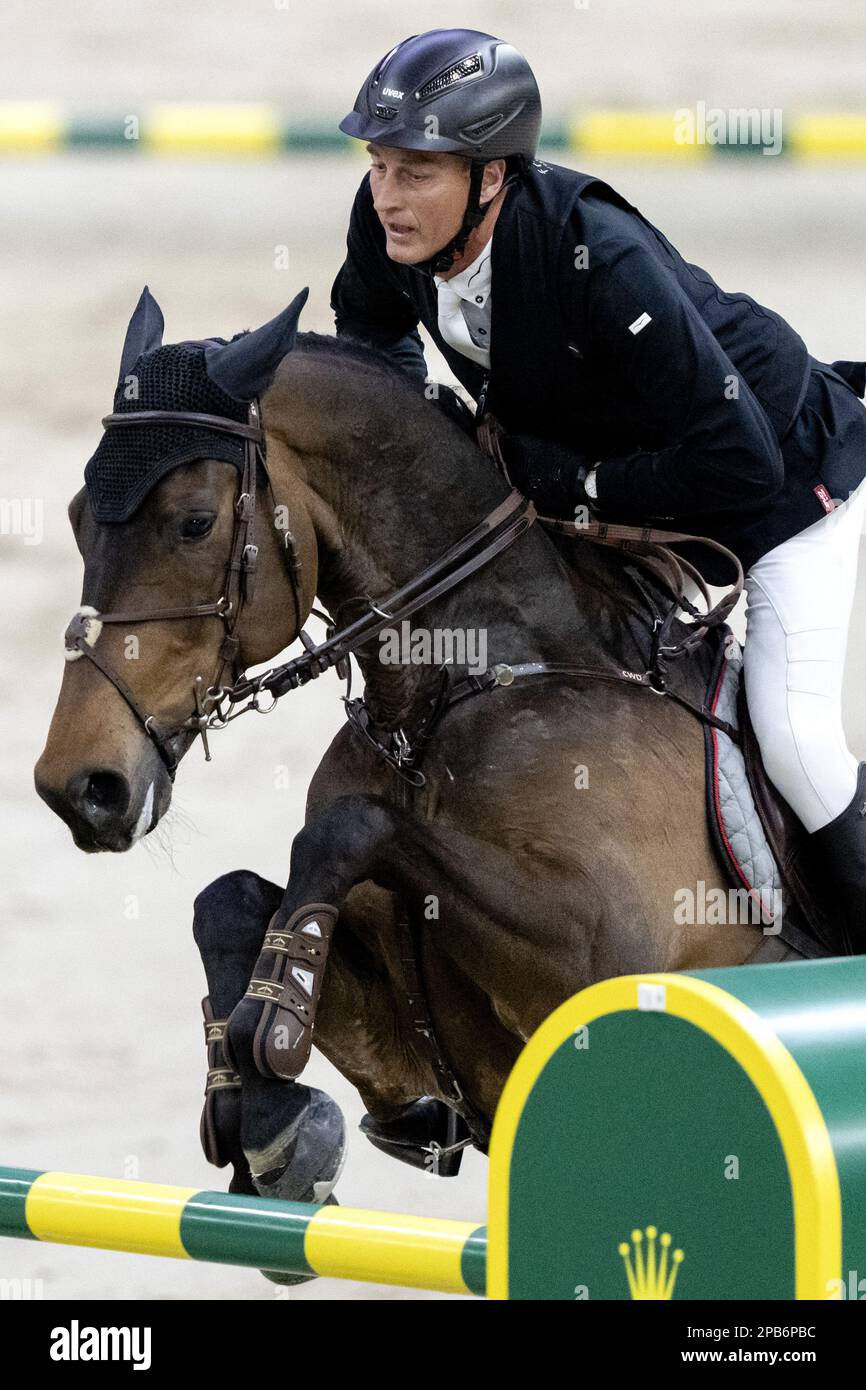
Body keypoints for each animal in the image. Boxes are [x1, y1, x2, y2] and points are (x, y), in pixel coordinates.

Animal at [33, 290, 795, 1228]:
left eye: (194, 524)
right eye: (76, 517)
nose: (80, 787)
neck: (438, 706)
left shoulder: (600, 951)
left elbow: (349, 827)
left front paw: (268, 1046)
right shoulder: (405, 1033)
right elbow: (232, 897)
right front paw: (271, 1119)